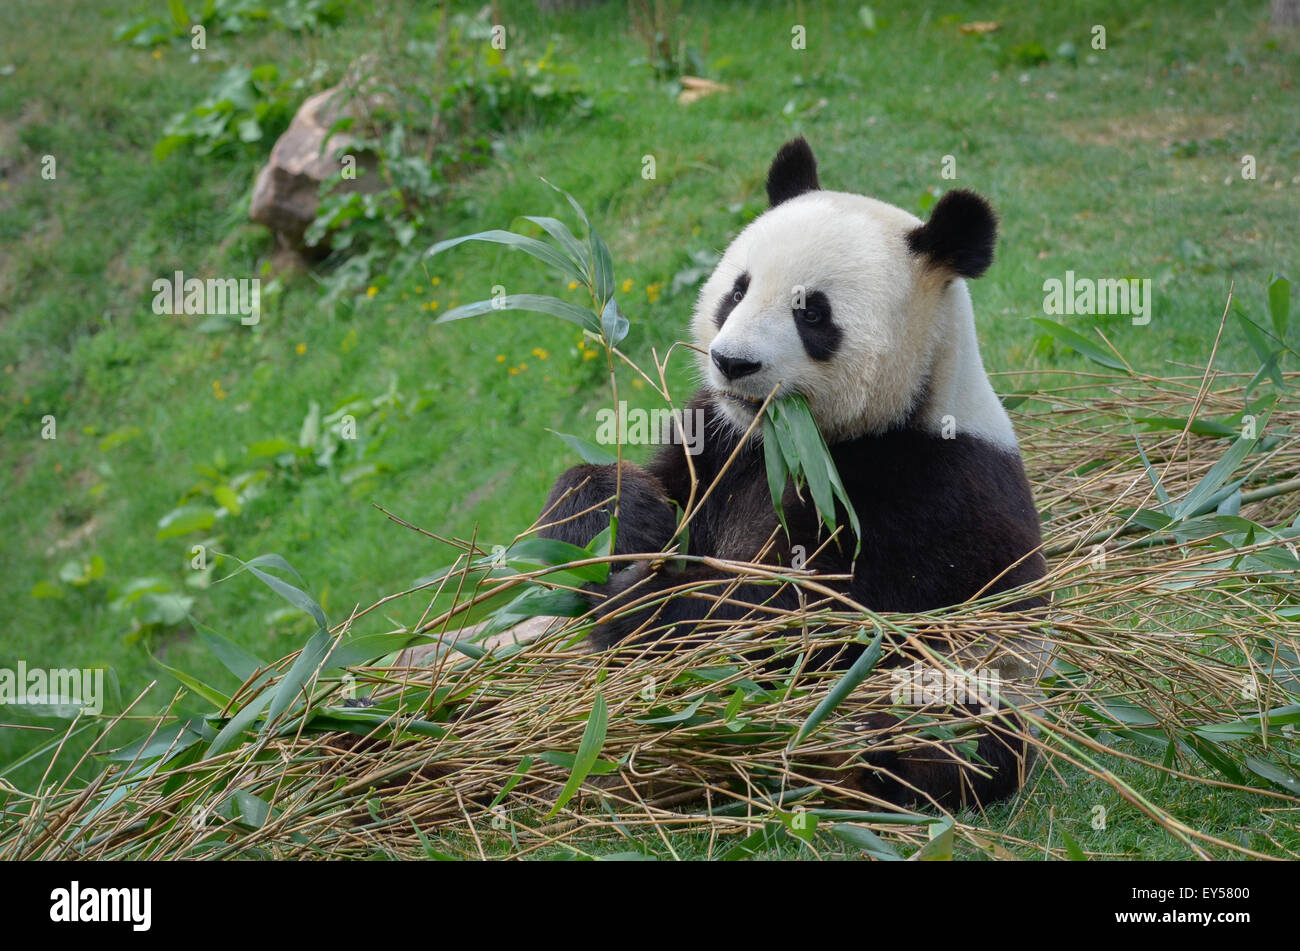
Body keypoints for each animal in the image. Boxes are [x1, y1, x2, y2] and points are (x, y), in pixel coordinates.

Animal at [535, 138, 1047, 810]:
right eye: (737, 291)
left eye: (813, 314)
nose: (732, 362)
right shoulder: (718, 440)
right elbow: (657, 498)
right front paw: (616, 519)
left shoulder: (931, 492)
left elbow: (791, 628)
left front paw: (639, 603)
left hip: (988, 676)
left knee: (946, 731)